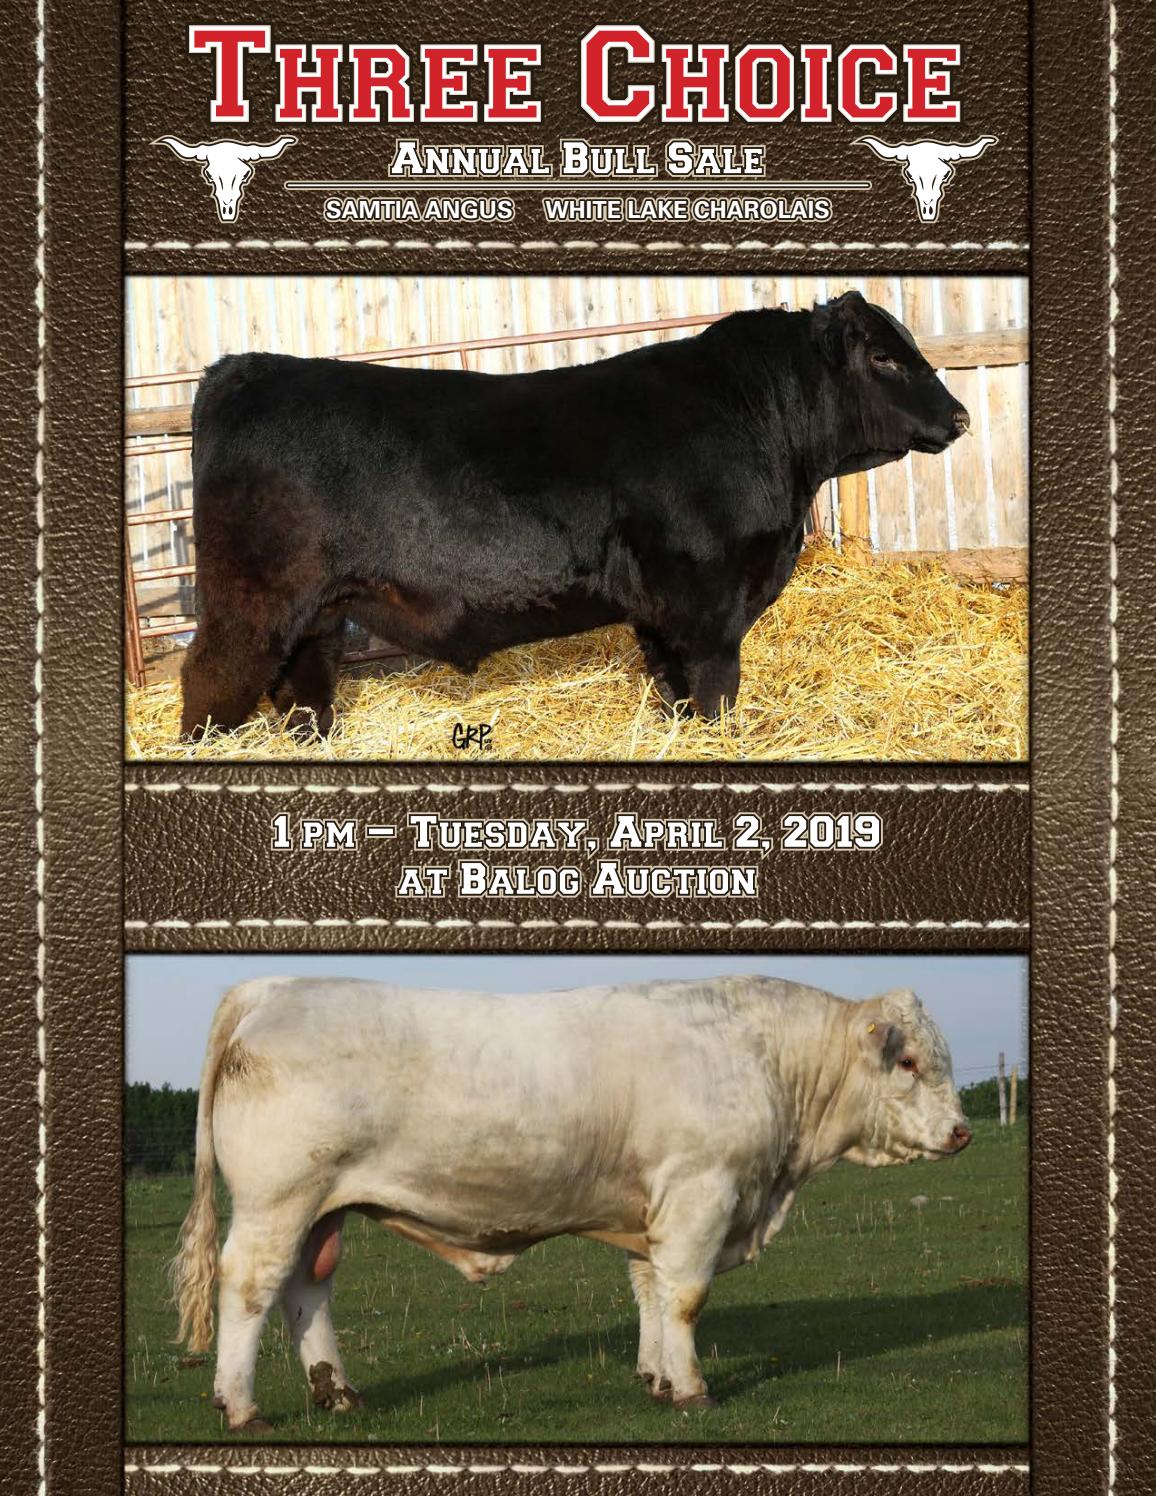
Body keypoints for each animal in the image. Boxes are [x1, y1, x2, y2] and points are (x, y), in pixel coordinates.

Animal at [171, 974, 972, 1431]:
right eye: (908, 1061)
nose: (962, 1131)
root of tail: (273, 985)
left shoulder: (656, 1208)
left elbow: (651, 1291)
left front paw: (656, 1379)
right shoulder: (701, 1191)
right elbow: (686, 1298)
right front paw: (693, 1391)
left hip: (319, 1209)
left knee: (307, 1291)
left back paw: (337, 1394)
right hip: (278, 1197)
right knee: (250, 1286)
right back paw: (240, 1406)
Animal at [178, 292, 970, 739]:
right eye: (883, 358)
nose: (960, 416)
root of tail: (244, 370)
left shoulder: (660, 610)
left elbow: (675, 692)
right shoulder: (709, 599)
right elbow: (715, 691)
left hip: (315, 611)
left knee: (303, 686)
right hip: (249, 602)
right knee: (209, 681)